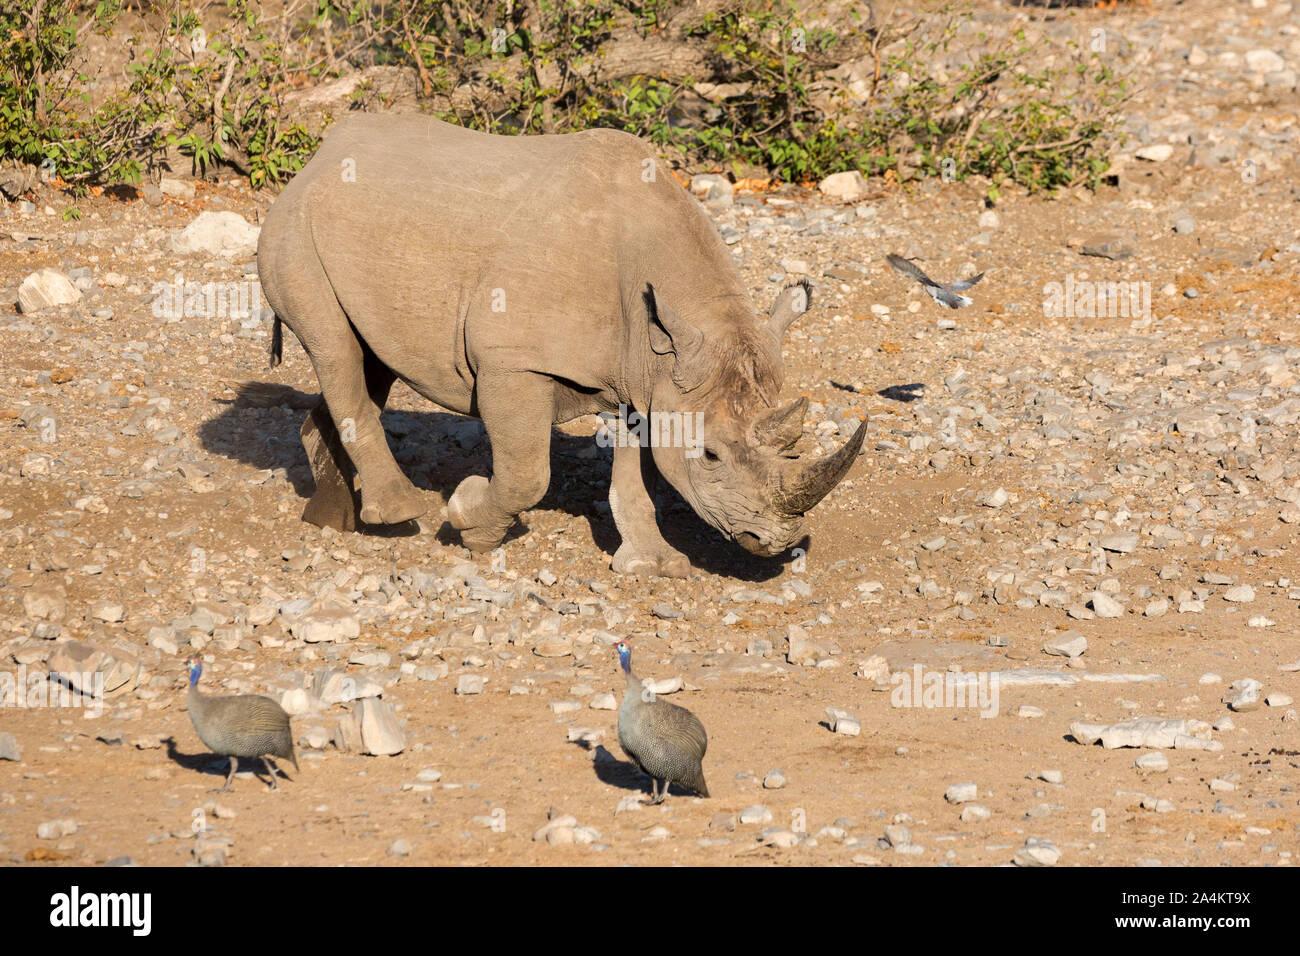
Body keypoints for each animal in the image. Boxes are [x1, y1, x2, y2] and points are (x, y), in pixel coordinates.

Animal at [257, 114, 863, 577]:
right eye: (711, 455)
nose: (775, 543)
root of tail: (319, 155)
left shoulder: (646, 376)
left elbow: (635, 476)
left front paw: (652, 565)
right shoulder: (513, 362)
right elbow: (527, 474)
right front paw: (470, 524)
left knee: (367, 362)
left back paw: (336, 520)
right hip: (293, 225)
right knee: (336, 349)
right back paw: (403, 512)